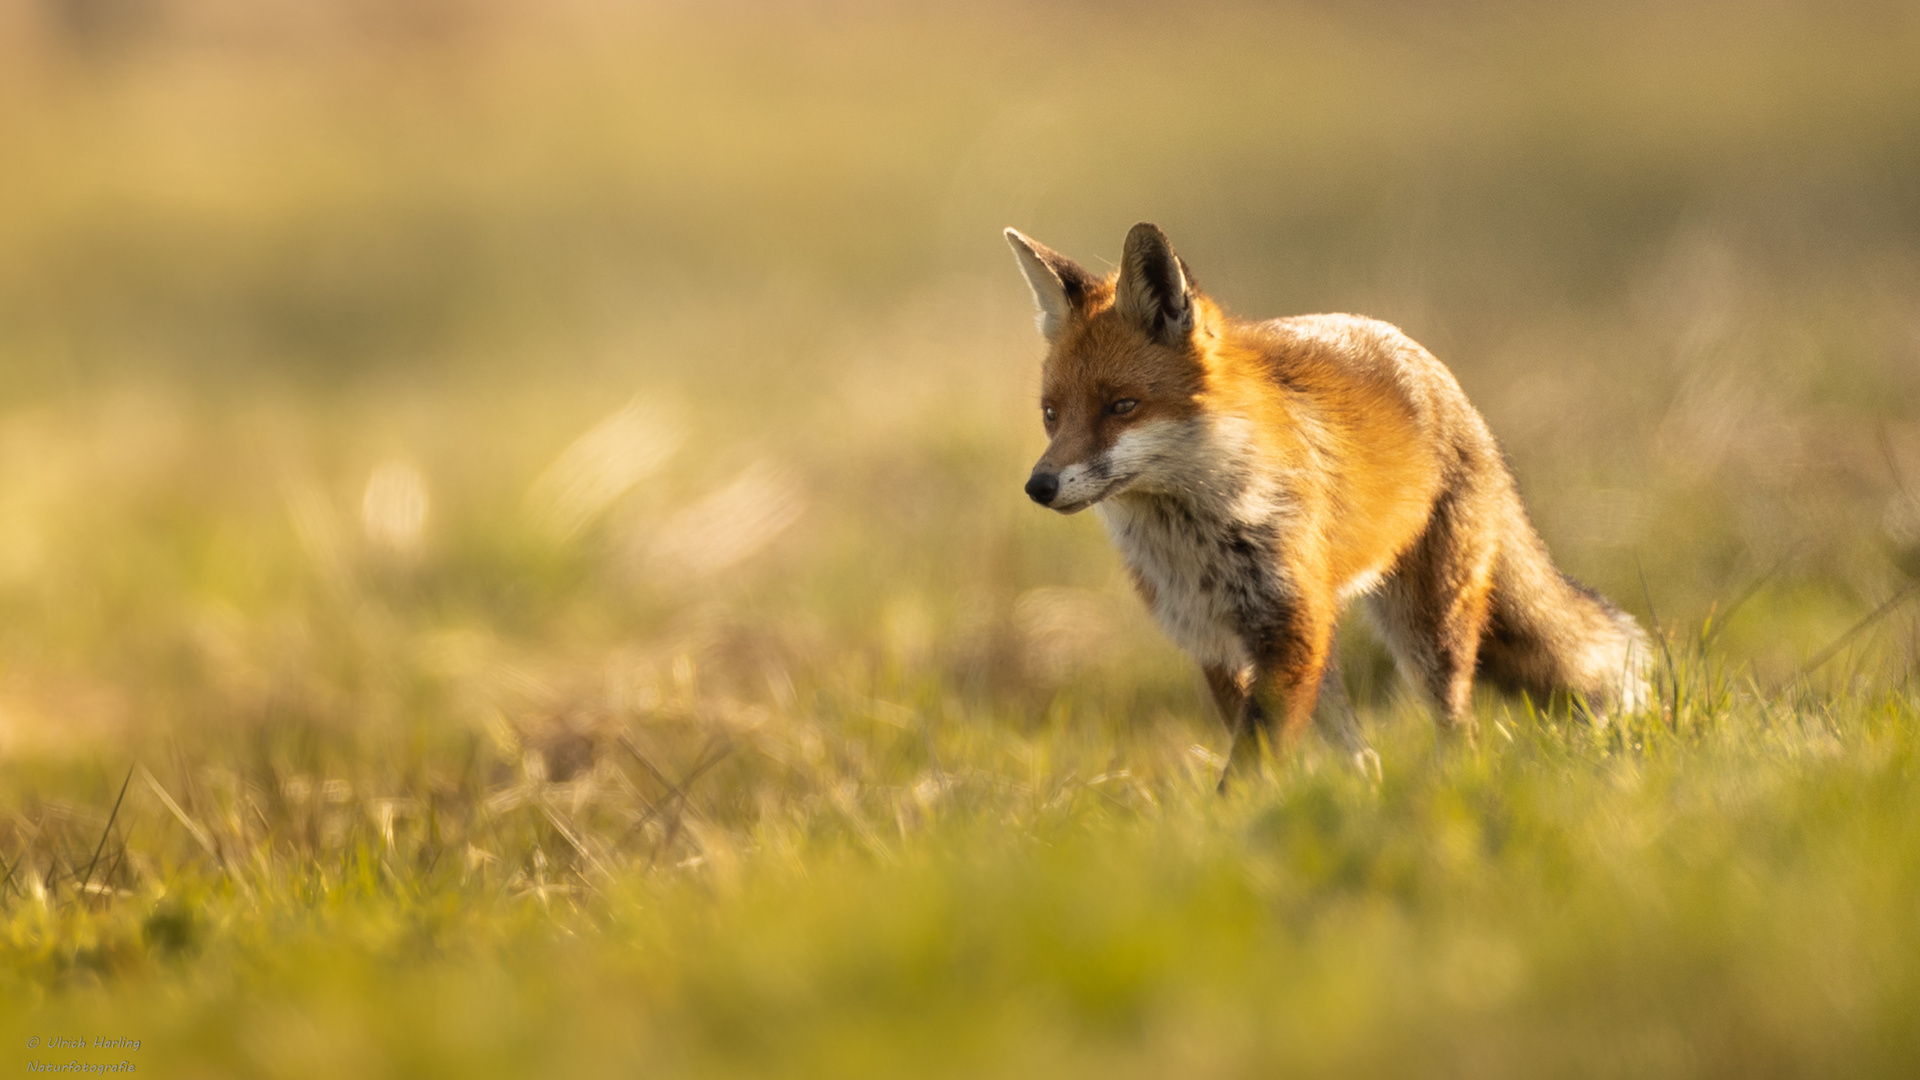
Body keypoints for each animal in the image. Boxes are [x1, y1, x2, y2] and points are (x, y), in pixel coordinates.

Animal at [1006, 222, 1650, 783]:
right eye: (1051, 414)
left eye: (1121, 406)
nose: (1039, 486)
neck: (1195, 538)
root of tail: (1439, 374)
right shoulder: (1217, 642)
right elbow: (1254, 750)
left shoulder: (1288, 632)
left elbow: (1249, 765)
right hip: (1333, 641)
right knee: (1364, 755)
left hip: (1426, 631)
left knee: (1458, 728)